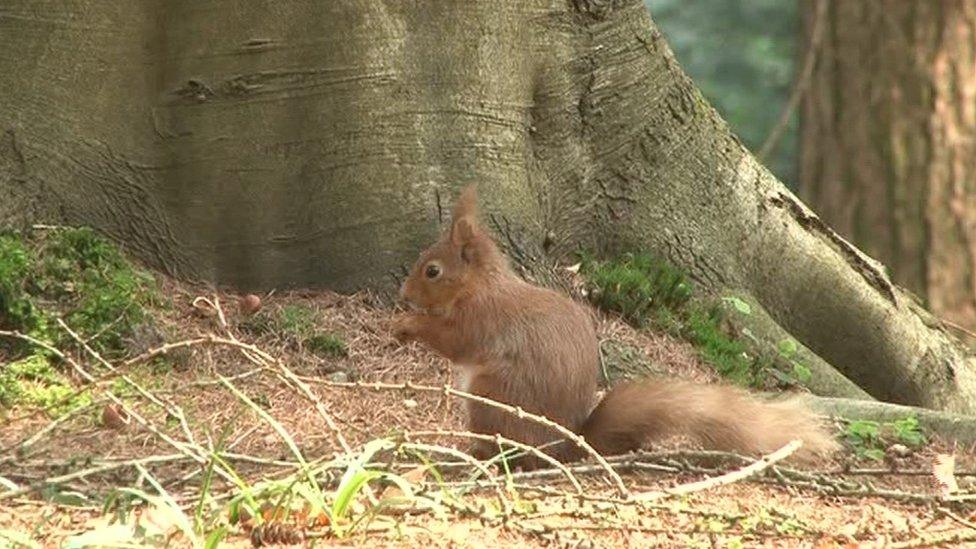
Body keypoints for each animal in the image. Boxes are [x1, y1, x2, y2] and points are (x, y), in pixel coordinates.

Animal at [393, 184, 838, 467]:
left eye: (432, 271)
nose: (403, 294)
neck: (480, 286)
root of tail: (564, 447)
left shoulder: (480, 319)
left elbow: (453, 340)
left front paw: (406, 325)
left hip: (492, 395)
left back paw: (480, 455)